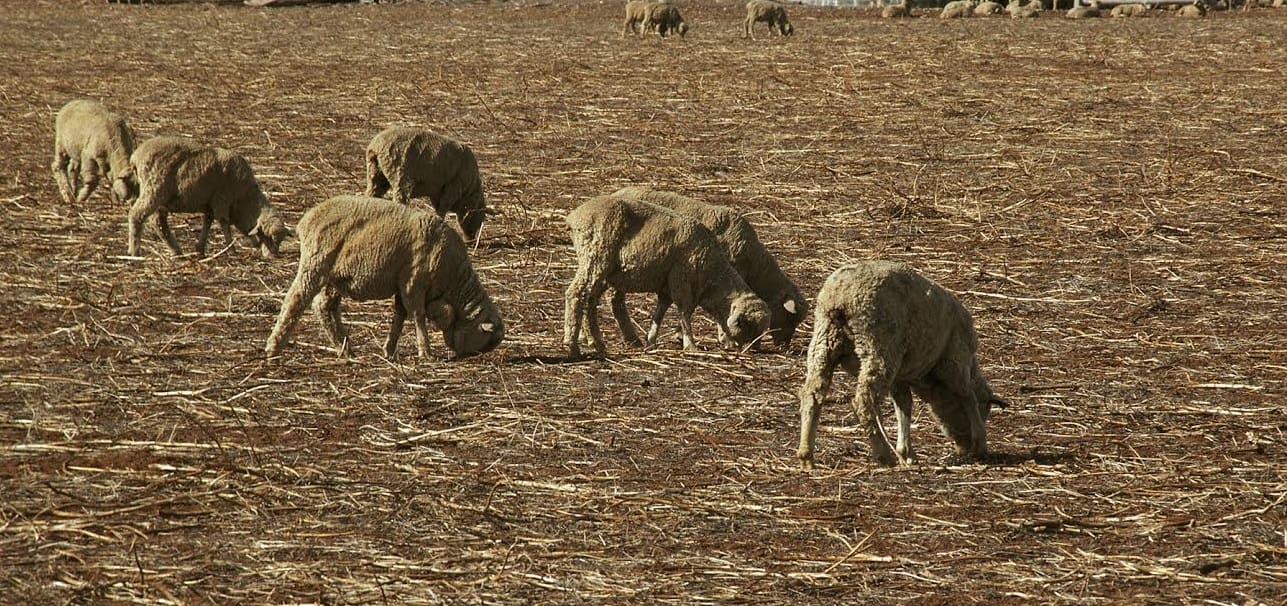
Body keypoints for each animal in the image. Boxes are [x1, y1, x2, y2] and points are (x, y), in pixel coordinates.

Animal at [127, 136, 292, 258]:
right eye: (268, 237)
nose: (274, 256)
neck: (244, 198)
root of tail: (136, 156)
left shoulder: (210, 204)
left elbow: (208, 222)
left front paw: (200, 248)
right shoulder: (222, 200)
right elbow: (224, 223)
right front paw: (231, 249)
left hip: (161, 198)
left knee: (158, 222)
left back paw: (176, 250)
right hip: (153, 190)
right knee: (136, 215)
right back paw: (134, 252)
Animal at [264, 195, 504, 359]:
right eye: (484, 341)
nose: (467, 357)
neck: (452, 276)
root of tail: (308, 217)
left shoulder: (403, 285)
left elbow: (400, 315)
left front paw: (389, 349)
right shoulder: (413, 282)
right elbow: (417, 315)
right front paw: (425, 352)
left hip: (335, 276)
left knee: (324, 306)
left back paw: (345, 348)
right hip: (315, 263)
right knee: (296, 300)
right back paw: (274, 347)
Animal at [563, 195, 770, 358]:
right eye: (748, 324)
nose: (753, 350)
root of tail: (573, 217)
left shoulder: (667, 287)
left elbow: (660, 313)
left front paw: (651, 341)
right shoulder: (681, 279)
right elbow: (685, 311)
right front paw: (690, 345)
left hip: (603, 268)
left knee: (590, 299)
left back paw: (597, 343)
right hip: (596, 256)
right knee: (576, 294)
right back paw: (572, 346)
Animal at [610, 186, 806, 347]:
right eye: (791, 317)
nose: (785, 346)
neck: (753, 263)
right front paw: (723, 339)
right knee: (616, 302)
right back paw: (632, 338)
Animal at [796, 261, 1009, 469]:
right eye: (985, 411)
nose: (964, 448)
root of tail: (840, 299)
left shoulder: (900, 378)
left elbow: (904, 407)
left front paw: (906, 454)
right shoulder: (954, 361)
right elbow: (967, 396)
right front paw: (980, 442)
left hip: (823, 344)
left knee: (812, 395)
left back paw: (807, 455)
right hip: (879, 347)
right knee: (863, 402)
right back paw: (883, 455)